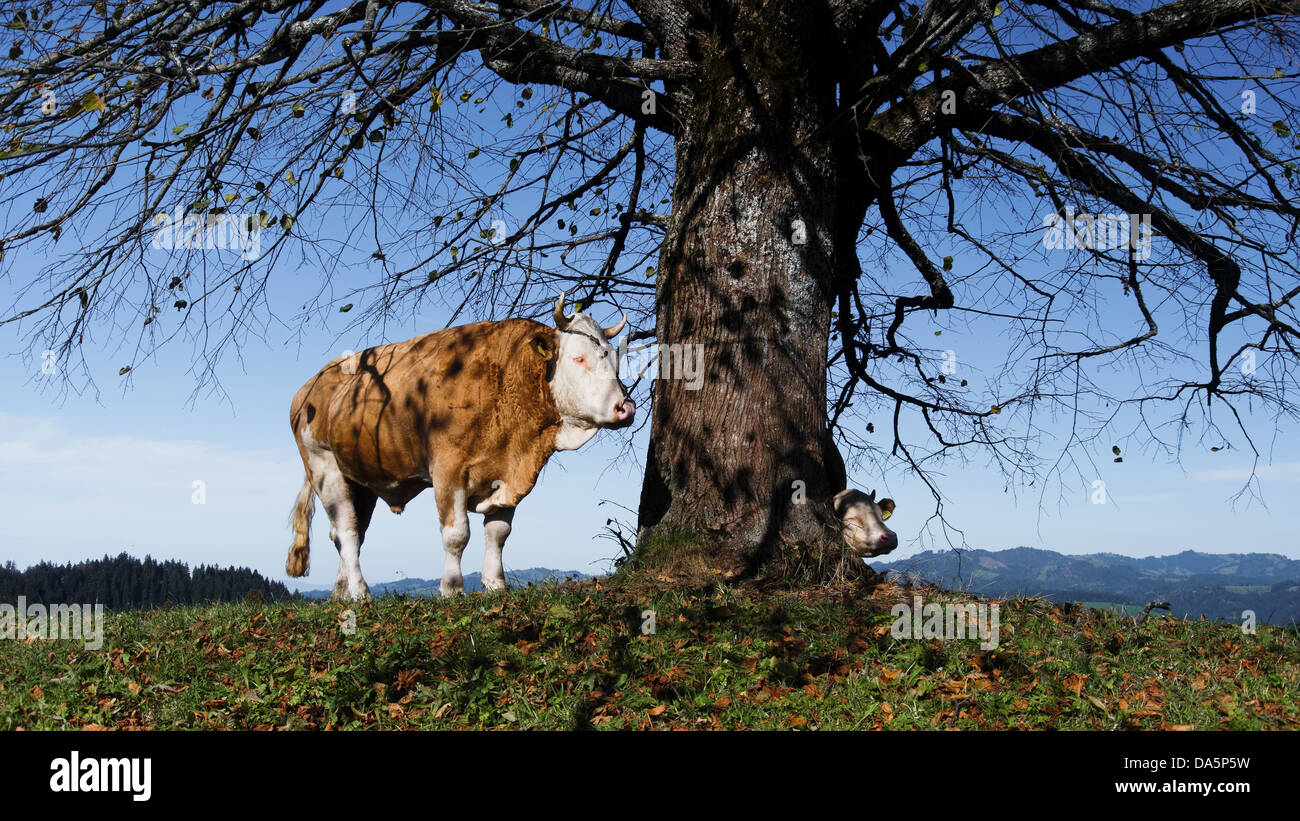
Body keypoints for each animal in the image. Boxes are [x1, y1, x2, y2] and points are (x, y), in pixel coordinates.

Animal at [286, 294, 635, 600]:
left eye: (617, 361)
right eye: (579, 358)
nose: (625, 407)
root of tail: (310, 386)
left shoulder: (508, 471)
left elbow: (498, 532)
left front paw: (496, 584)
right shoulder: (448, 469)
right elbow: (457, 534)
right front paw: (452, 588)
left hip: (361, 481)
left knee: (346, 533)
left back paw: (340, 592)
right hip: (325, 467)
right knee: (346, 531)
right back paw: (360, 593)